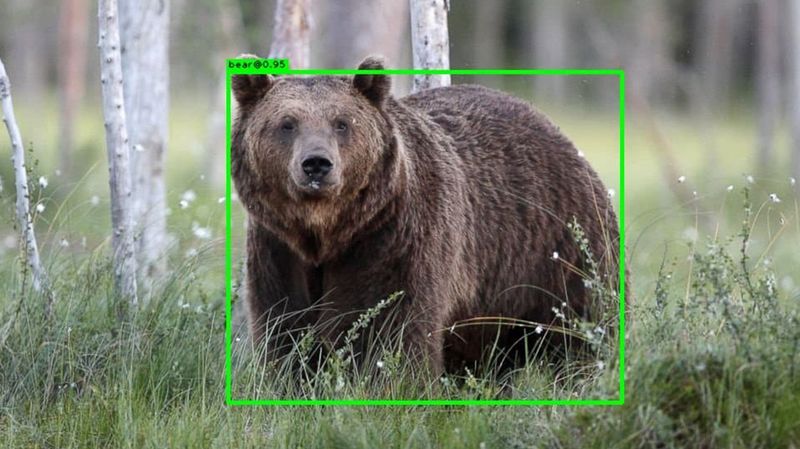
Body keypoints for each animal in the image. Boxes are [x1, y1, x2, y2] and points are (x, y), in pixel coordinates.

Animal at [231, 56, 622, 376]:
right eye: (286, 123)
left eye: (342, 123)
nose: (316, 164)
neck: (327, 232)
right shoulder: (278, 248)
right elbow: (285, 327)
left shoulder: (392, 237)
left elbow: (388, 326)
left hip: (556, 250)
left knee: (579, 326)